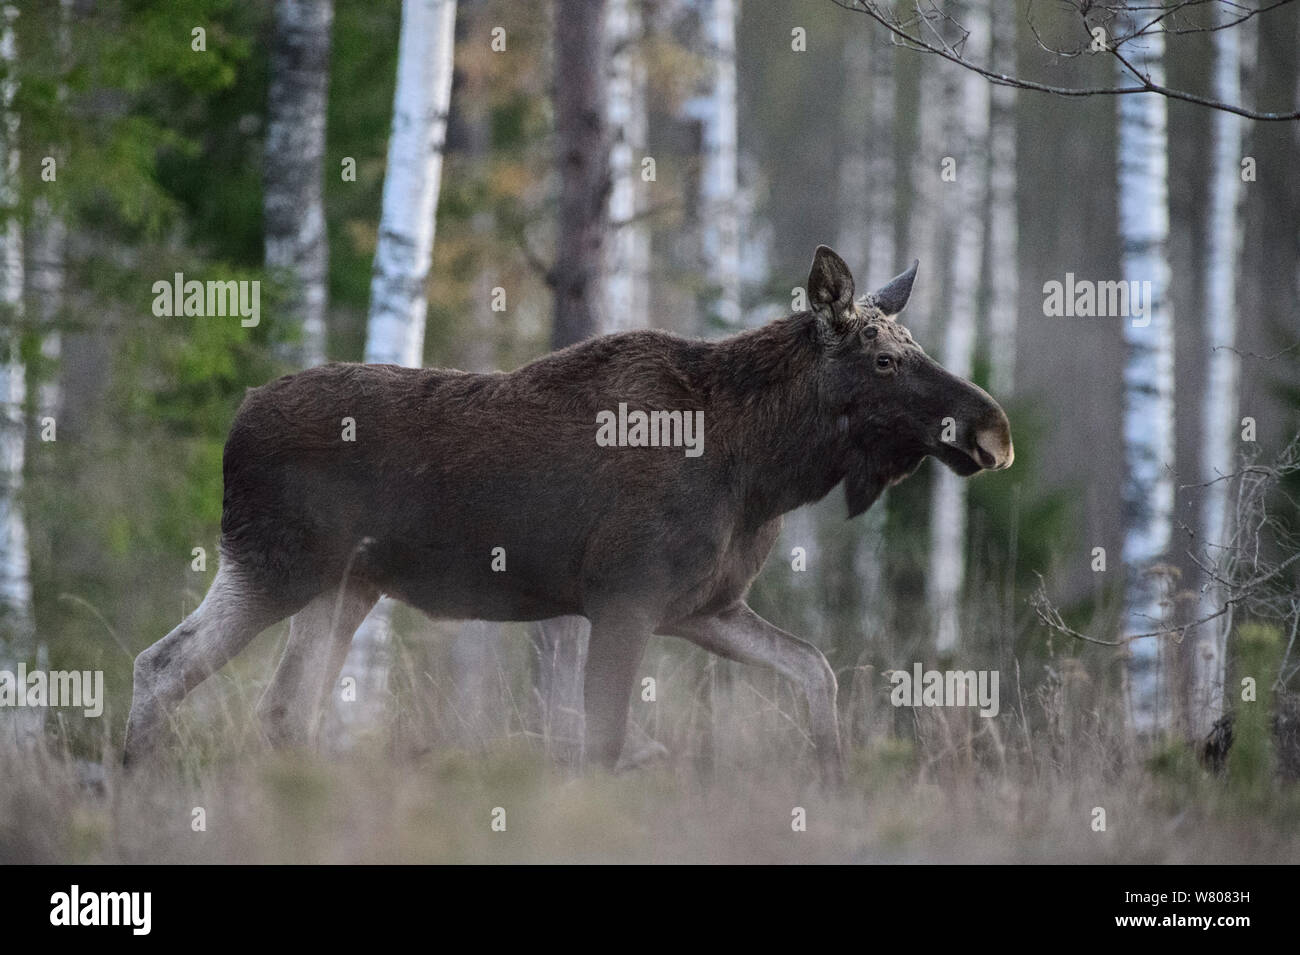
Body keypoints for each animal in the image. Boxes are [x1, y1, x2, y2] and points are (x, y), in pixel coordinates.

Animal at [124, 246, 1013, 784]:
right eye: (886, 359)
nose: (992, 428)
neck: (763, 469)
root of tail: (235, 419)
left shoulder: (704, 606)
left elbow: (815, 671)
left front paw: (829, 779)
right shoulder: (625, 596)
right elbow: (603, 743)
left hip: (346, 584)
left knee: (282, 706)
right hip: (276, 562)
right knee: (162, 663)